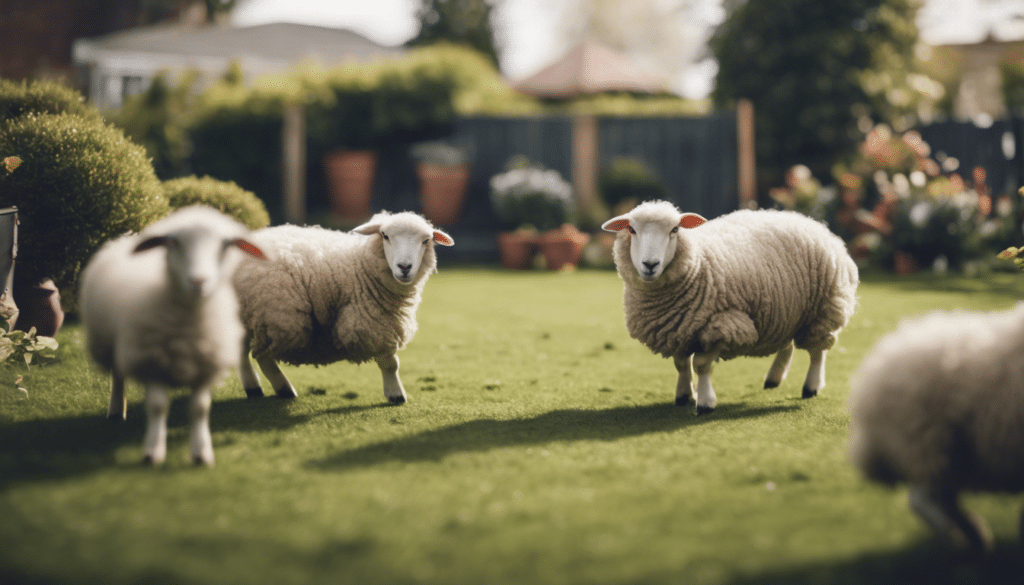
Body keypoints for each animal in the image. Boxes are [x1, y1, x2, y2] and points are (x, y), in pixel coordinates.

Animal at [79, 205, 267, 466]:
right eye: (174, 242)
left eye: (225, 245)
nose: (198, 281)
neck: (188, 325)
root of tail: (125, 237)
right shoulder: (151, 362)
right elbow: (158, 407)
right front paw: (153, 451)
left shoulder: (204, 367)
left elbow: (199, 409)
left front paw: (201, 453)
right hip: (114, 346)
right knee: (117, 376)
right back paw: (116, 410)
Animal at [233, 211, 454, 403]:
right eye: (385, 236)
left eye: (426, 241)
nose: (405, 267)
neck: (361, 266)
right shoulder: (373, 325)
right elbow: (391, 364)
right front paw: (396, 395)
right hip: (275, 314)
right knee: (263, 357)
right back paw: (284, 389)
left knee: (242, 352)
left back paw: (254, 388)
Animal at [602, 200, 859, 414]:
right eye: (631, 230)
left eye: (675, 230)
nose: (650, 264)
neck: (699, 262)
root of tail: (809, 220)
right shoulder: (678, 329)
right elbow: (681, 364)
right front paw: (683, 395)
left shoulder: (722, 324)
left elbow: (701, 365)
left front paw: (705, 402)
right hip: (785, 310)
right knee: (787, 345)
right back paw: (773, 378)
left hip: (823, 309)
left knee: (817, 351)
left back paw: (811, 387)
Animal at [849, 302, 1024, 552]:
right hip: (931, 446)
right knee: (922, 499)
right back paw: (960, 538)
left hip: (952, 456)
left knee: (945, 499)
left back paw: (974, 533)